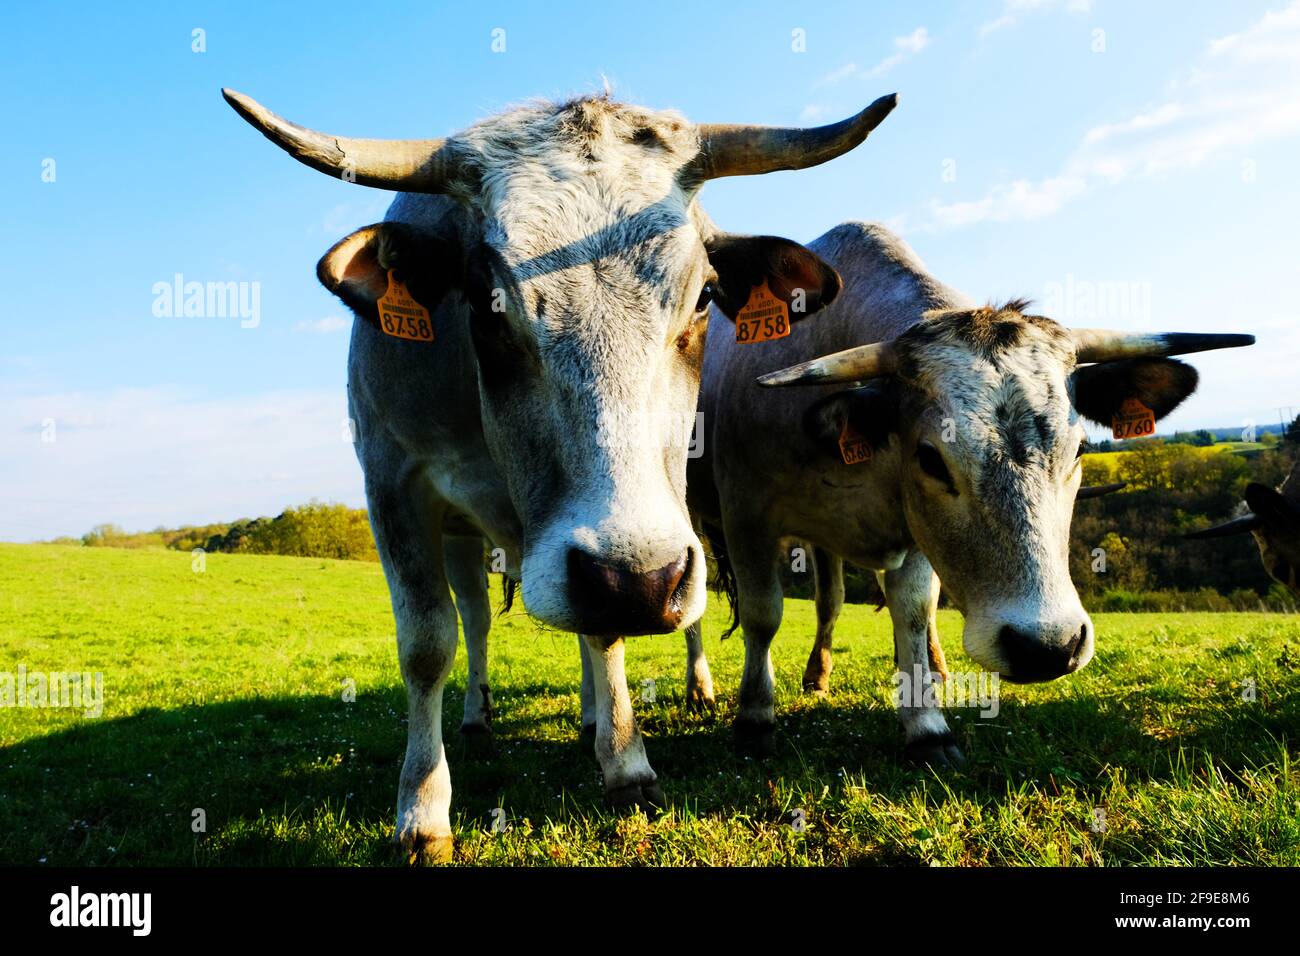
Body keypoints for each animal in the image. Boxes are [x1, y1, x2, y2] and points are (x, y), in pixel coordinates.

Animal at [223, 87, 897, 861]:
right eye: (484, 297)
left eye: (703, 297)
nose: (642, 581)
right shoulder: (394, 484)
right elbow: (428, 643)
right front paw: (422, 809)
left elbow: (604, 635)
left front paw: (626, 759)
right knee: (473, 617)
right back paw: (479, 717)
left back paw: (593, 719)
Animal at [687, 220, 1253, 763]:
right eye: (931, 457)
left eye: (1079, 450)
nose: (1047, 647)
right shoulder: (746, 514)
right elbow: (763, 614)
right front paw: (754, 719)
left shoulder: (912, 529)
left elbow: (914, 610)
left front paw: (926, 724)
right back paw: (701, 688)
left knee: (832, 602)